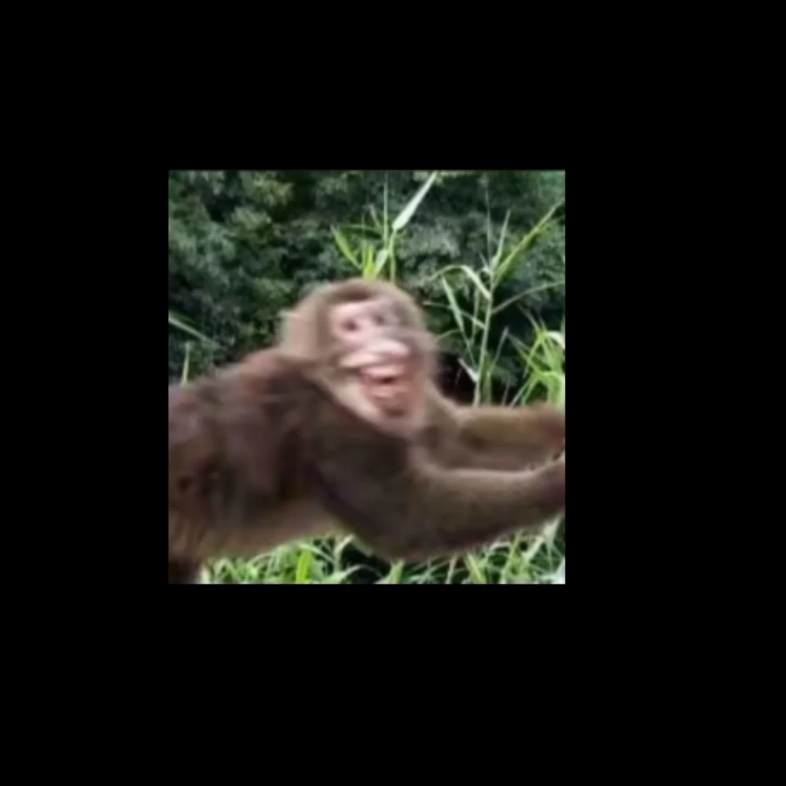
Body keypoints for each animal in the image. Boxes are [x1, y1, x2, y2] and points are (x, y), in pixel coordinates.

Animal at [169, 278, 564, 583]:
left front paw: (559, 426)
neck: (335, 392)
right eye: (351, 328)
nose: (381, 343)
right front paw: (558, 480)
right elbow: (412, 522)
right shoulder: (327, 431)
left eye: (379, 319)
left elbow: (457, 439)